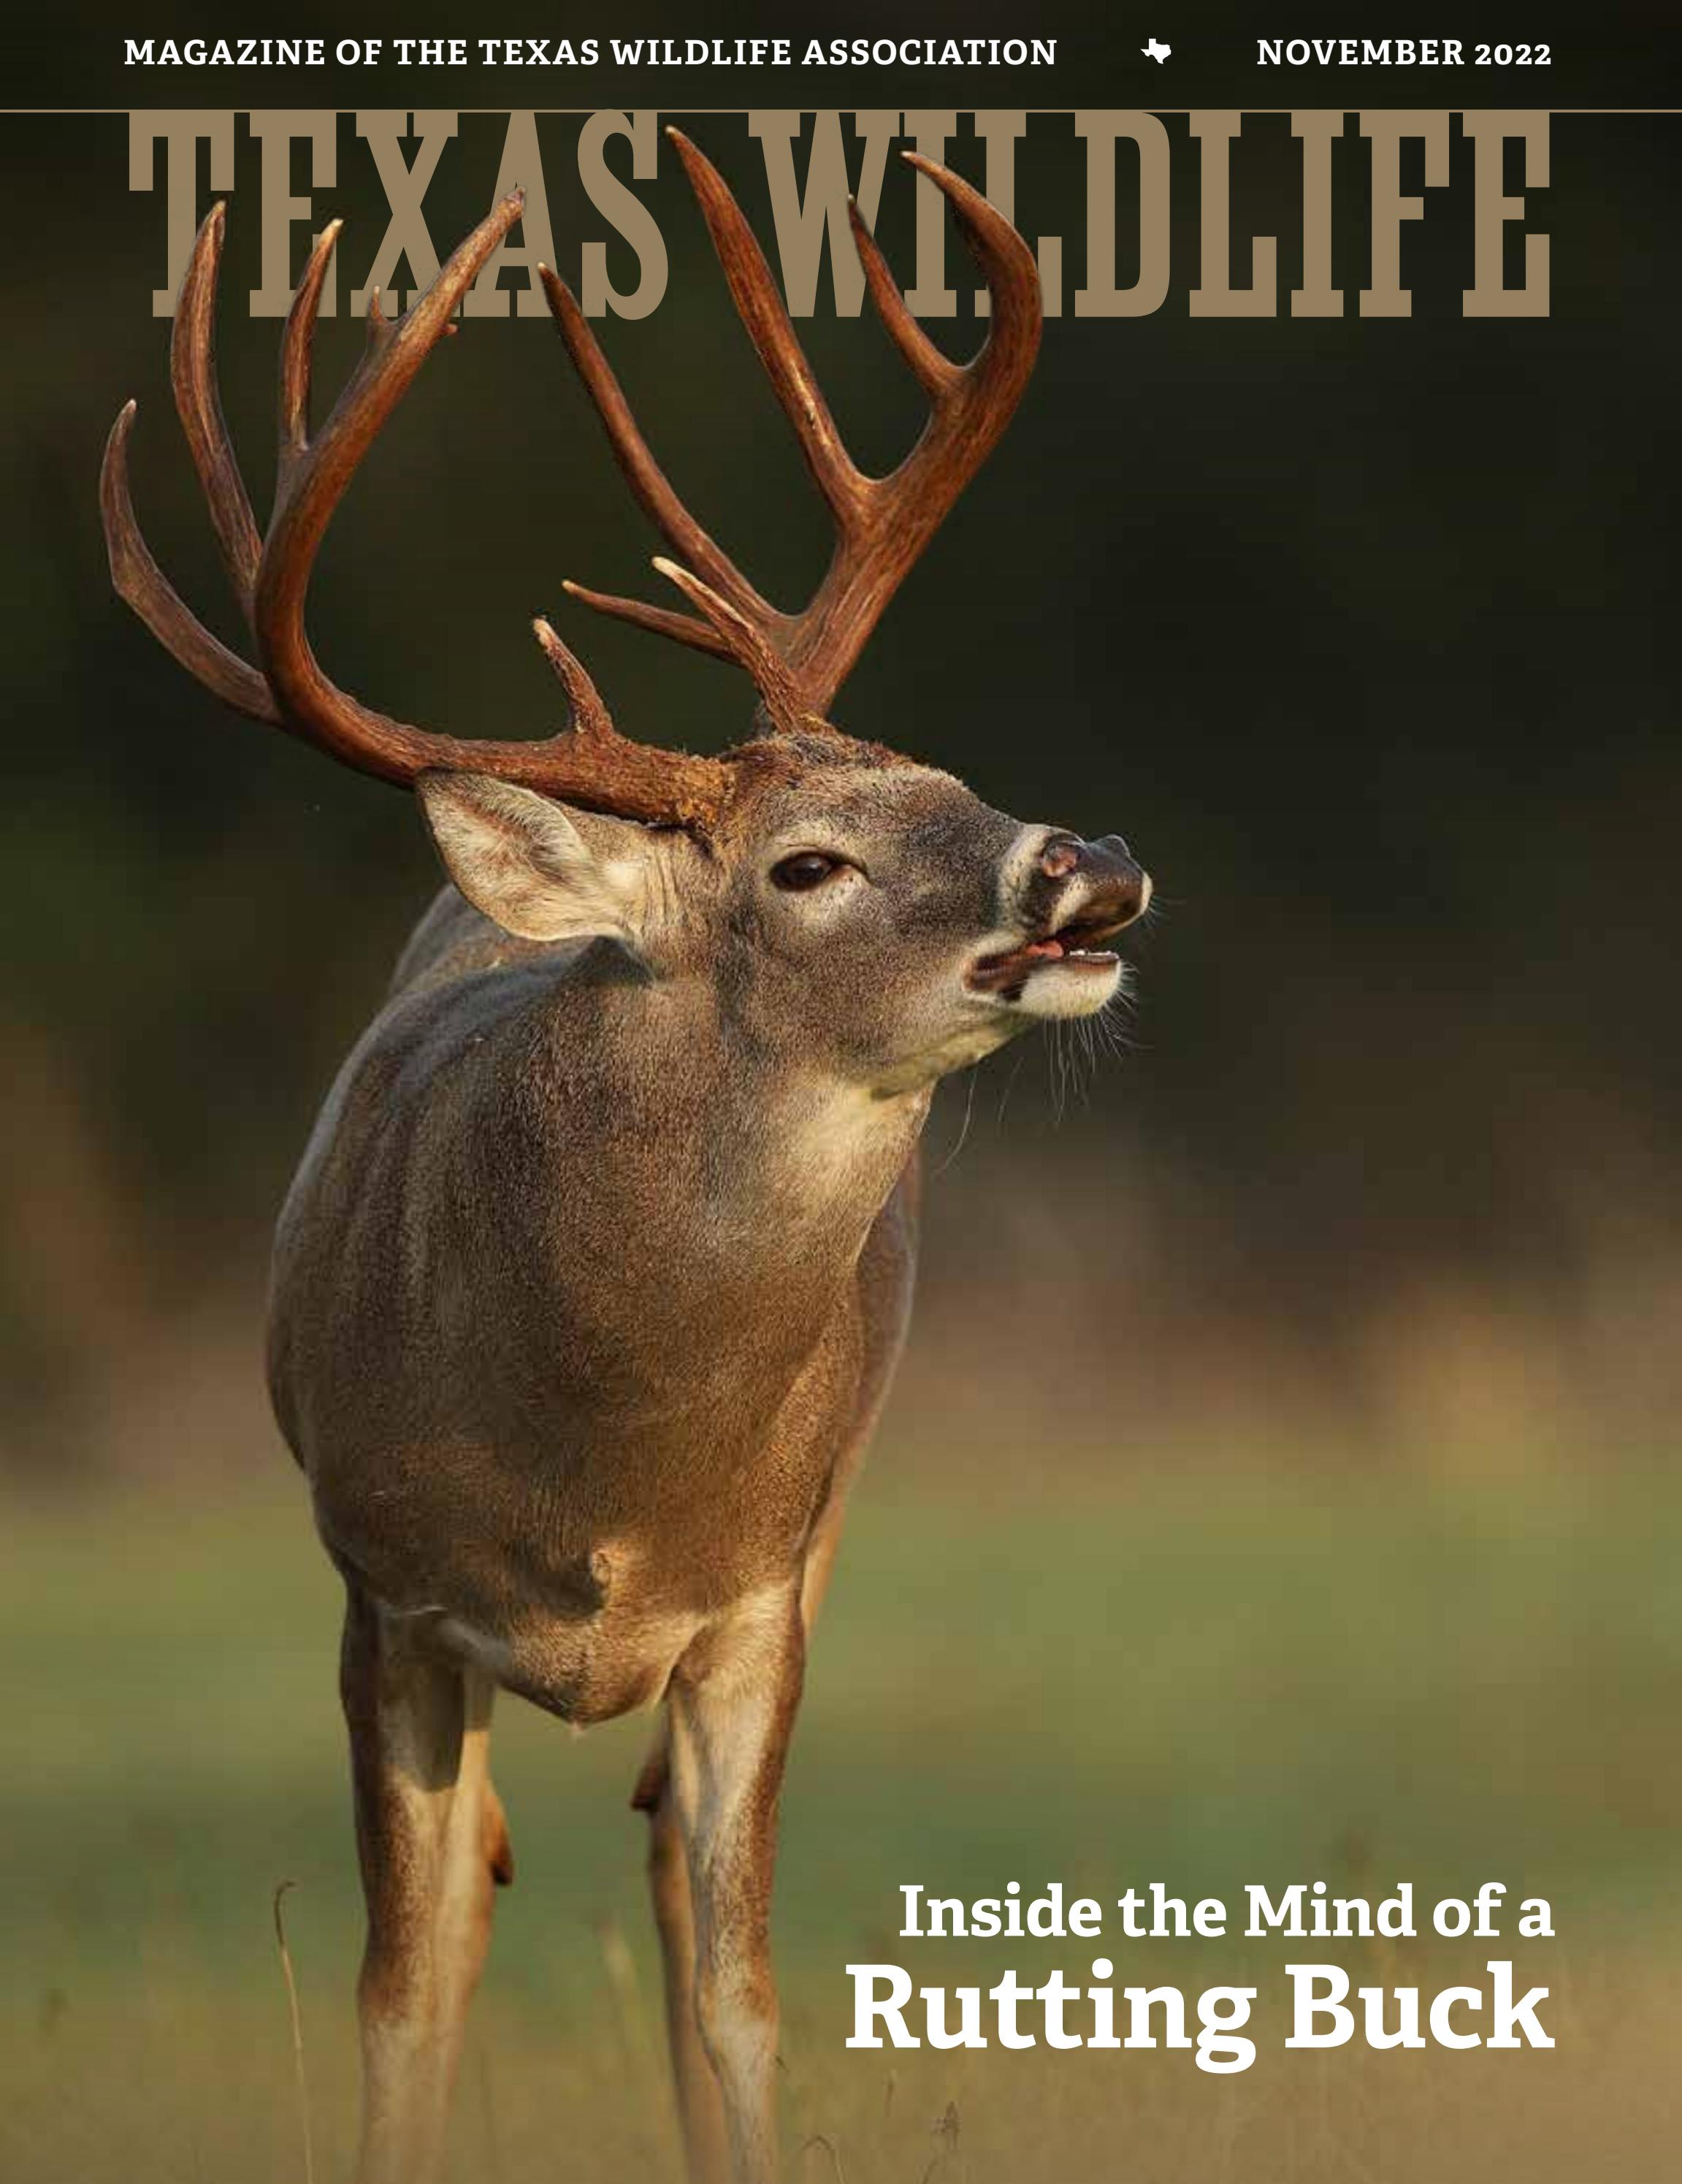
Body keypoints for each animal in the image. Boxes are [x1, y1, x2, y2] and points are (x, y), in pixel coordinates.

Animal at [101, 131, 1150, 2184]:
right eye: (807, 863)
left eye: (954, 781)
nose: (1092, 865)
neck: (607, 1457)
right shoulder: (380, 1589)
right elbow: (405, 1994)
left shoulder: (756, 1599)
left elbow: (734, 1992)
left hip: (826, 1537)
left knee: (675, 1893)